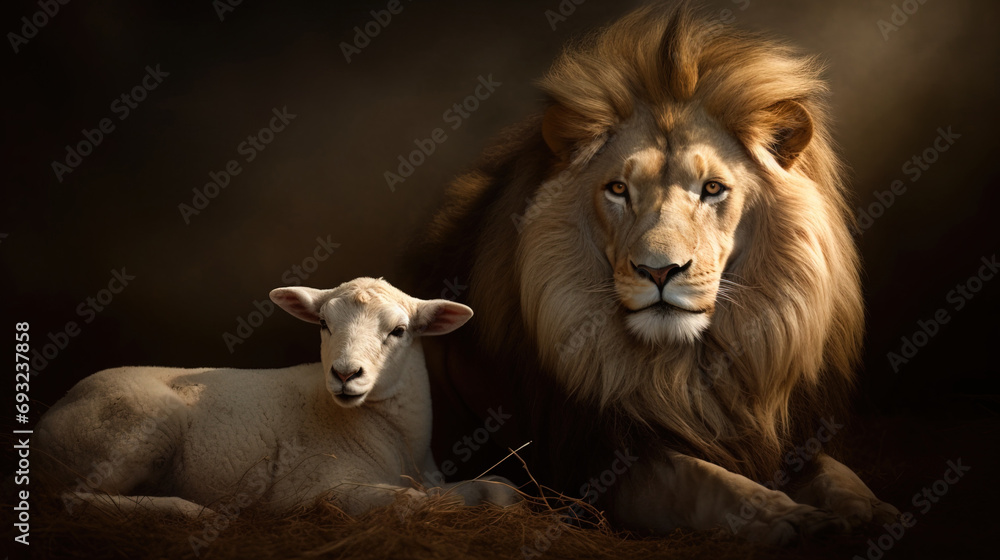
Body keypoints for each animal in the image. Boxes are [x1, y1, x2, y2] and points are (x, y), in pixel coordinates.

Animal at [35, 277, 519, 517]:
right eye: (323, 324)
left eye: (399, 331)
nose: (345, 373)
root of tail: (48, 419)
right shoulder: (318, 489)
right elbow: (409, 502)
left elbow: (494, 486)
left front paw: (496, 492)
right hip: (135, 427)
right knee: (71, 498)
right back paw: (191, 512)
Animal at [405, 2, 899, 545]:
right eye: (619, 189)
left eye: (712, 188)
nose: (659, 271)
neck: (686, 368)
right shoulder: (596, 462)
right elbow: (700, 479)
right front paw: (790, 519)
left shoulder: (784, 434)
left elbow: (838, 473)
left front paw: (871, 511)